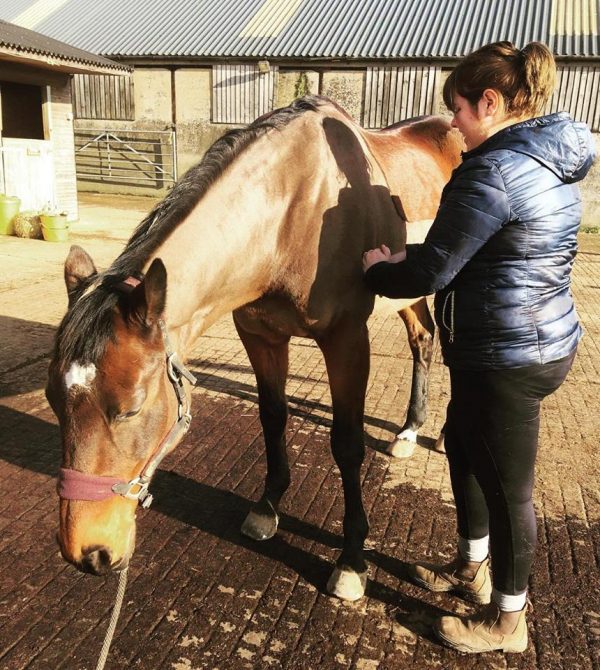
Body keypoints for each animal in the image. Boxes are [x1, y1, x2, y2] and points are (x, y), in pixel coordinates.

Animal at [46, 95, 462, 601]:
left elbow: (346, 444)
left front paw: (351, 560)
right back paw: (409, 431)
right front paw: (268, 506)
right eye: (52, 401)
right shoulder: (259, 335)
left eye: (130, 409)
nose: (87, 553)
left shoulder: (346, 340)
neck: (292, 213)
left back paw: (439, 434)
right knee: (422, 340)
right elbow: (272, 416)